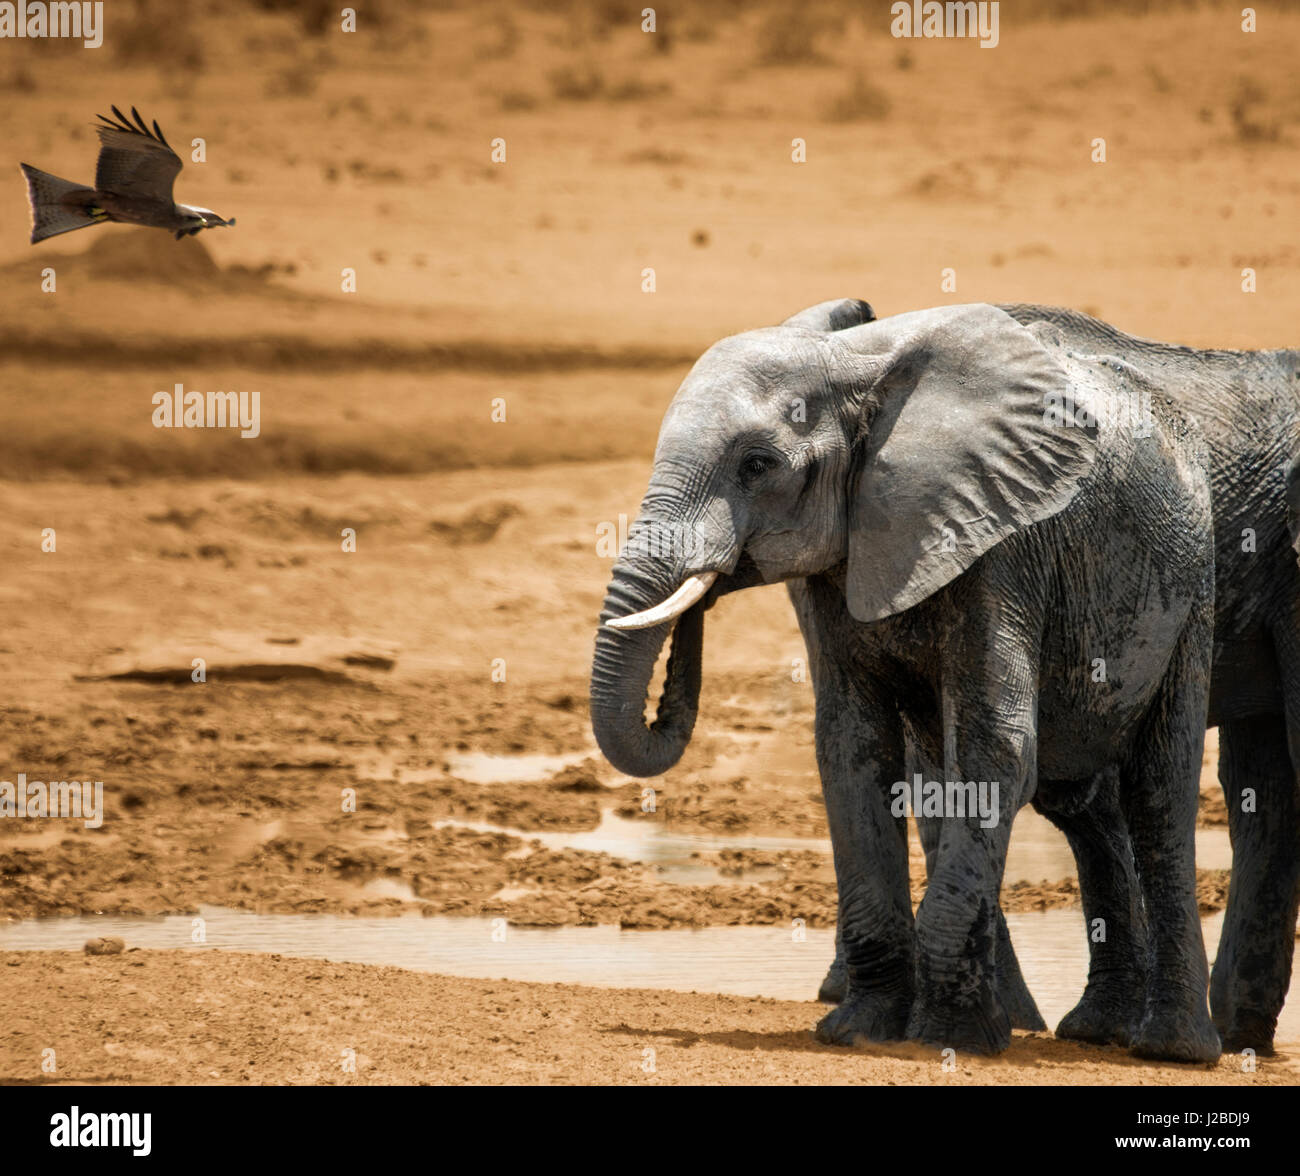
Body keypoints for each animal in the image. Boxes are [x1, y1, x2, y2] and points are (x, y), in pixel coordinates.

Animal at [590, 298, 1223, 1060]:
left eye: (757, 465)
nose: (703, 590)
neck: (853, 365)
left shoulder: (1004, 547)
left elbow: (996, 750)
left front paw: (949, 1038)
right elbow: (852, 751)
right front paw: (859, 1030)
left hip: (1194, 583)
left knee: (1158, 790)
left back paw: (1169, 1049)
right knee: (1078, 804)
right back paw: (1088, 1030)